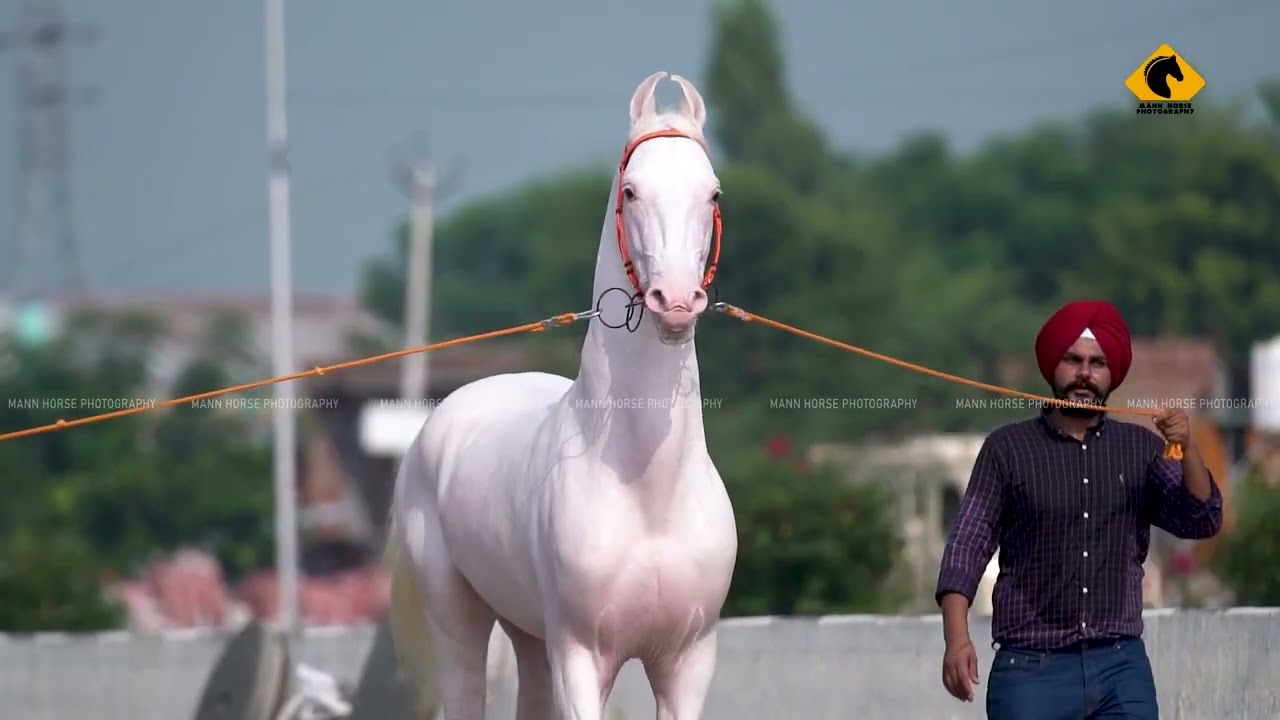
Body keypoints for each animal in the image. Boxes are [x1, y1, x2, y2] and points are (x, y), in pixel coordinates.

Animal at [384, 71, 739, 720]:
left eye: (713, 194)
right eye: (631, 190)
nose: (675, 302)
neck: (647, 491)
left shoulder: (687, 663)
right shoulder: (579, 657)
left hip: (527, 634)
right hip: (459, 620)